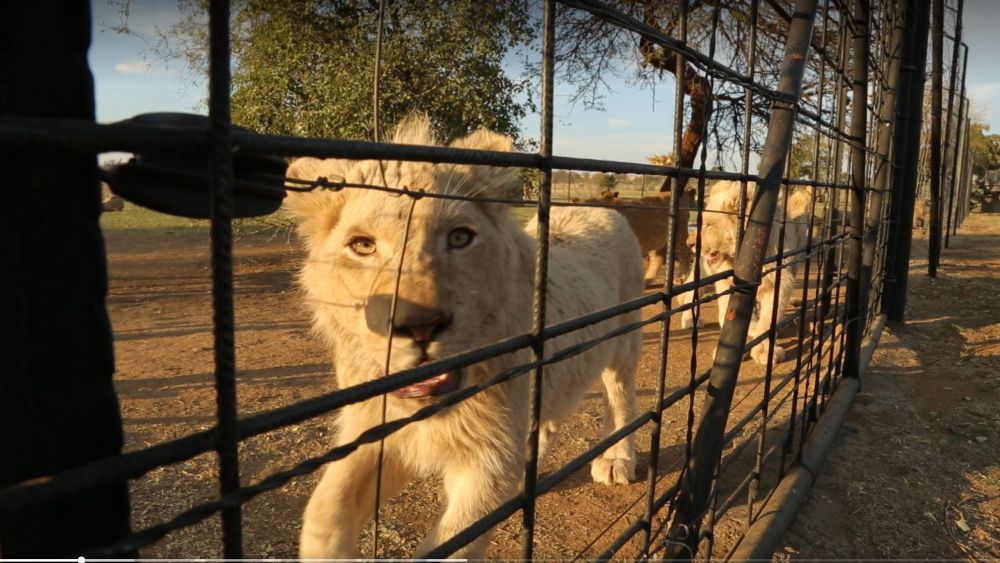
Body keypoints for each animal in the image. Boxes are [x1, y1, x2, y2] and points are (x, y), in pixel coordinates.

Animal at [285, 115, 643, 559]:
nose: (420, 325)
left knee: (621, 397)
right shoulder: (379, 429)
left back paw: (616, 458)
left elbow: (454, 543)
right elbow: (323, 510)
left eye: (459, 237)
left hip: (624, 342)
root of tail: (601, 208)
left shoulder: (487, 460)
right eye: (362, 246)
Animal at [679, 180, 812, 365]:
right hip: (705, 271)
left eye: (710, 225)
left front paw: (763, 350)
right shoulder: (727, 283)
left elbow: (767, 320)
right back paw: (690, 320)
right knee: (691, 292)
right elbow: (729, 315)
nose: (688, 243)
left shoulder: (779, 282)